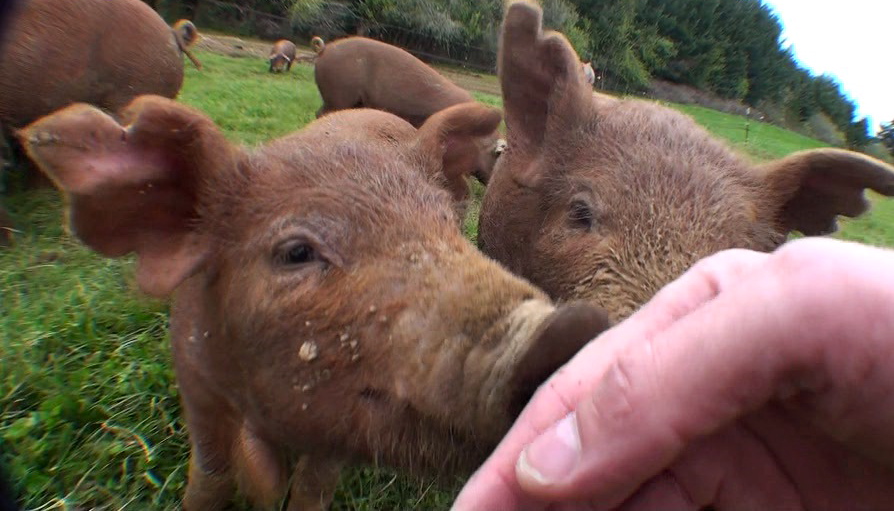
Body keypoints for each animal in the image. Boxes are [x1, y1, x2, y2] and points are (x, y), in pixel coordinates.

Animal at [20, 95, 611, 510]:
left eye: (447, 227)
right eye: (296, 252)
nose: (567, 329)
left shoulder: (340, 417)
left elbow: (311, 489)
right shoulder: (195, 380)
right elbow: (210, 477)